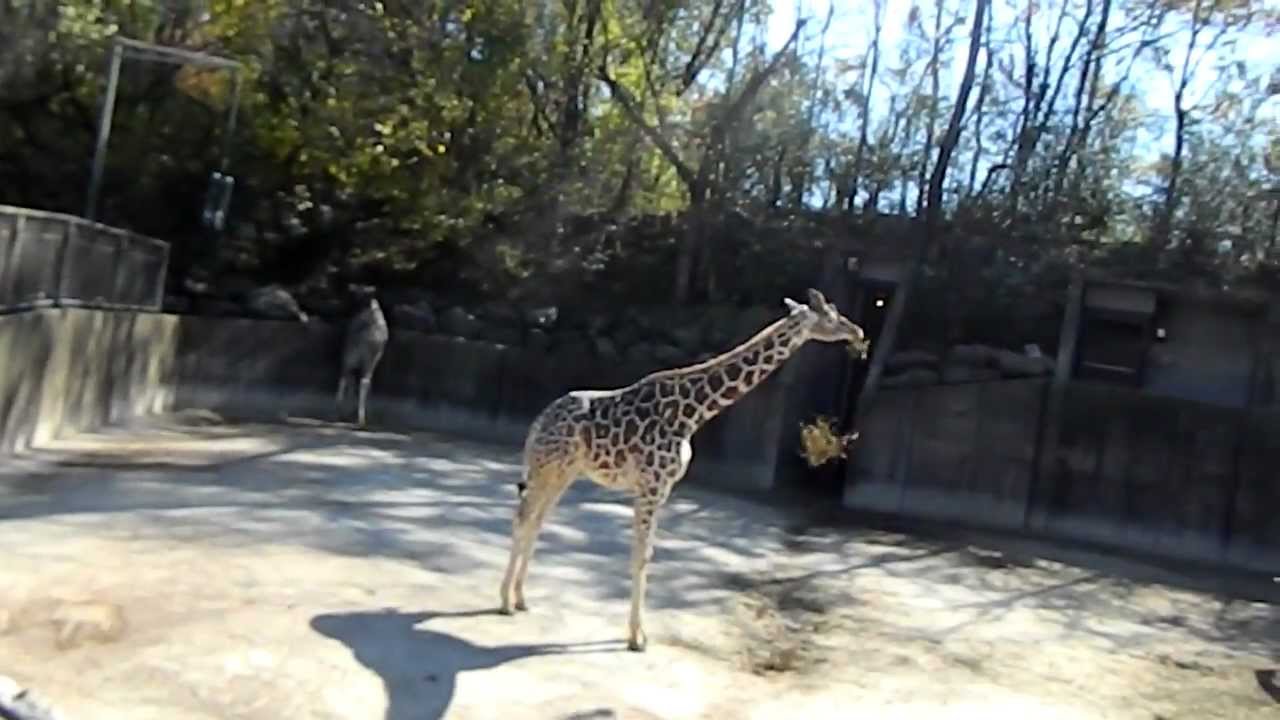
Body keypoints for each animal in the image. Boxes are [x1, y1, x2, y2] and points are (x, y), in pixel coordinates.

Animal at [499, 288, 869, 651]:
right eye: (831, 316)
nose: (858, 332)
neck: (692, 414)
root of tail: (539, 421)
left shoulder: (662, 489)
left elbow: (647, 553)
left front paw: (638, 633)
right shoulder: (651, 486)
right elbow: (641, 556)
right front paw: (636, 638)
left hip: (563, 472)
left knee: (536, 520)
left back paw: (520, 598)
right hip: (547, 468)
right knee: (522, 518)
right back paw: (505, 602)